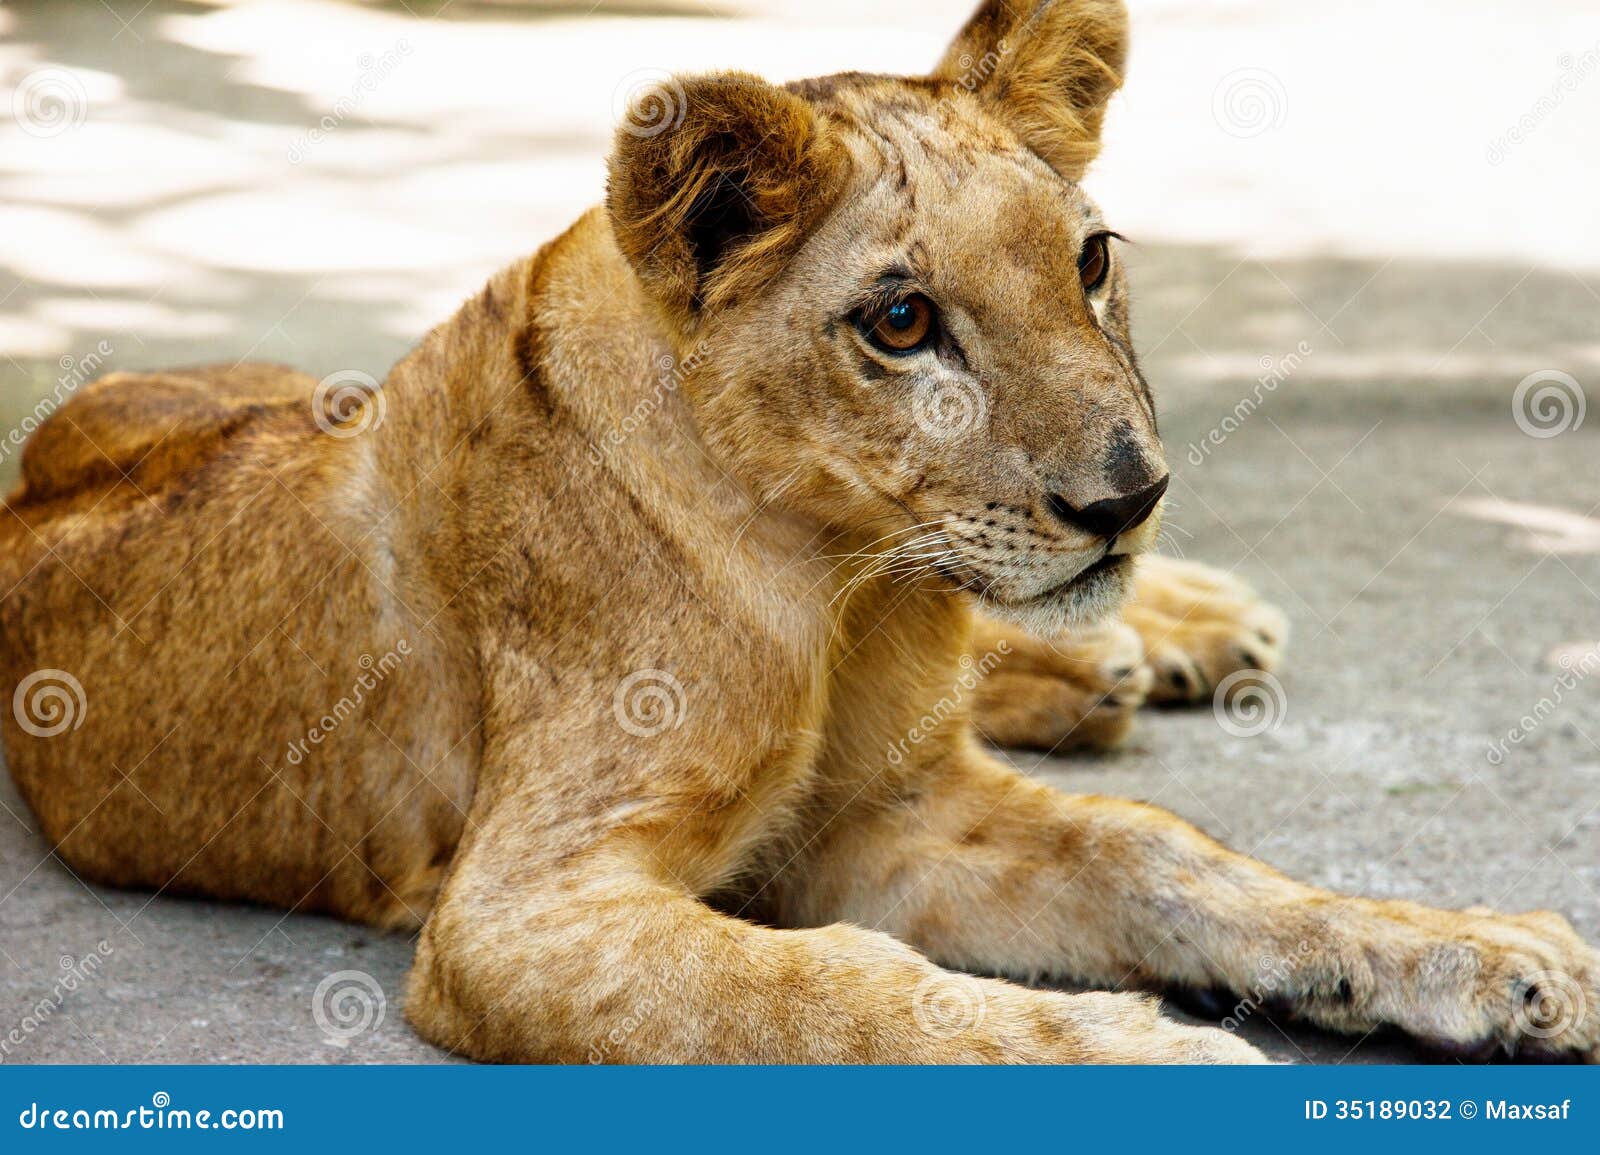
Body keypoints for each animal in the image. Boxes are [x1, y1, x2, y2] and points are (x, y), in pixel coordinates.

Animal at [2, 0, 1596, 1063]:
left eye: (1088, 261)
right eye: (900, 323)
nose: (1128, 496)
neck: (853, 588)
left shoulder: (901, 816)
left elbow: (1169, 857)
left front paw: (1487, 952)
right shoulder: (519, 913)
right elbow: (841, 987)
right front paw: (1163, 1058)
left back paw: (1170, 634)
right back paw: (1115, 667)